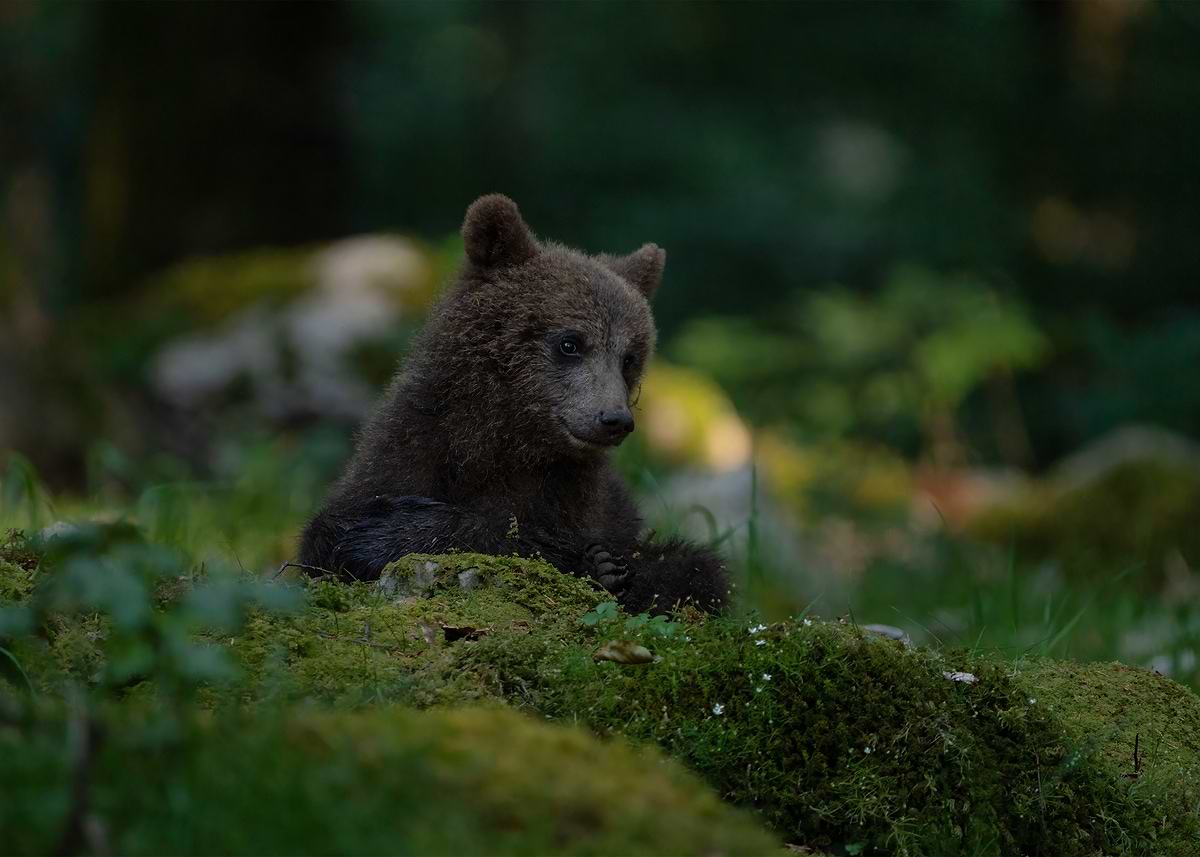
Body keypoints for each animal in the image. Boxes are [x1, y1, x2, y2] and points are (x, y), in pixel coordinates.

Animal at [298, 194, 729, 614]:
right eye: (570, 342)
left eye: (629, 357)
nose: (614, 419)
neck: (509, 438)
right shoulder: (407, 450)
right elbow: (333, 531)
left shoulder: (583, 497)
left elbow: (689, 569)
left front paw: (604, 564)